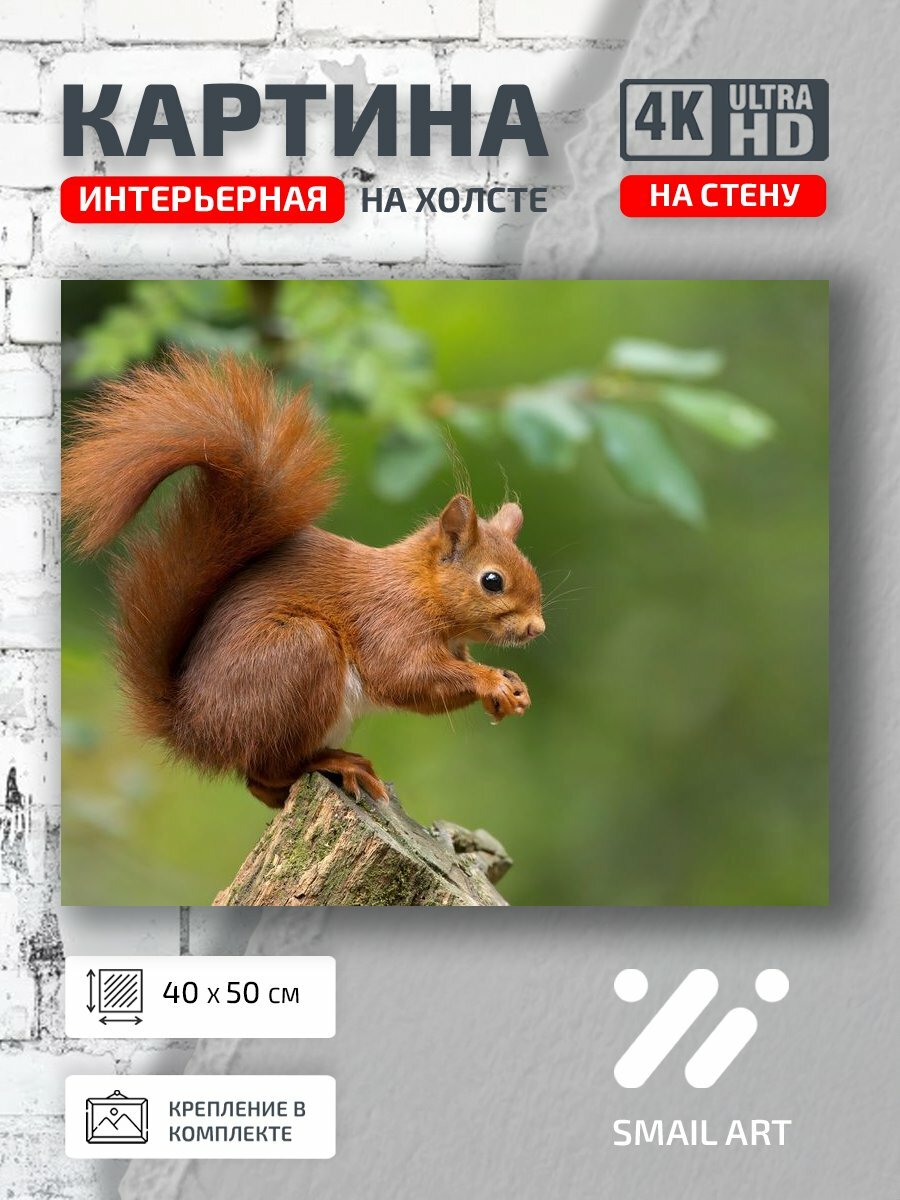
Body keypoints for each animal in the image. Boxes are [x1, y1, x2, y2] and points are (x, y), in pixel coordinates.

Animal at [62, 352, 545, 808]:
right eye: (492, 580)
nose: (536, 628)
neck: (421, 587)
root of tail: (194, 729)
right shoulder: (389, 620)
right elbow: (404, 676)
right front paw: (492, 681)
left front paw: (513, 687)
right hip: (299, 655)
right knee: (265, 772)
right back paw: (336, 762)